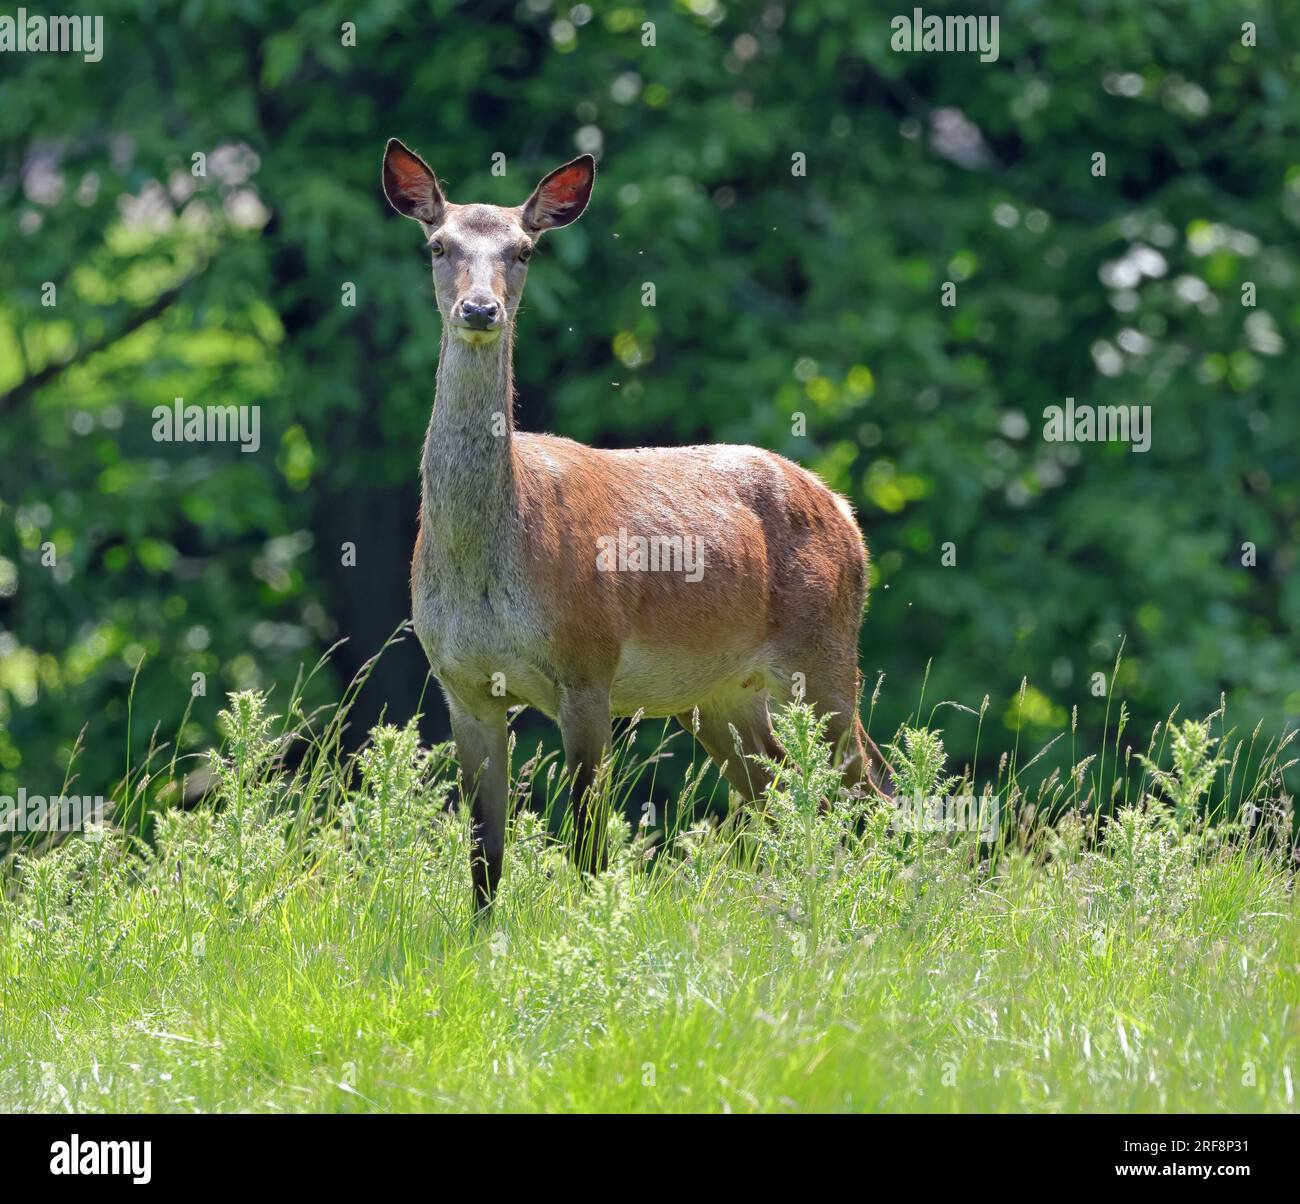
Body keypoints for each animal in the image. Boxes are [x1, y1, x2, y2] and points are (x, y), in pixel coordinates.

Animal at [382, 139, 892, 910]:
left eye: (524, 249)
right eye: (438, 244)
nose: (480, 308)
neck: (490, 567)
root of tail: (846, 512)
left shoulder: (588, 666)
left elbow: (588, 842)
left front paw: (591, 923)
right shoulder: (461, 683)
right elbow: (484, 858)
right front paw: (485, 934)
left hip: (826, 651)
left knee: (871, 783)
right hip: (719, 691)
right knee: (778, 791)